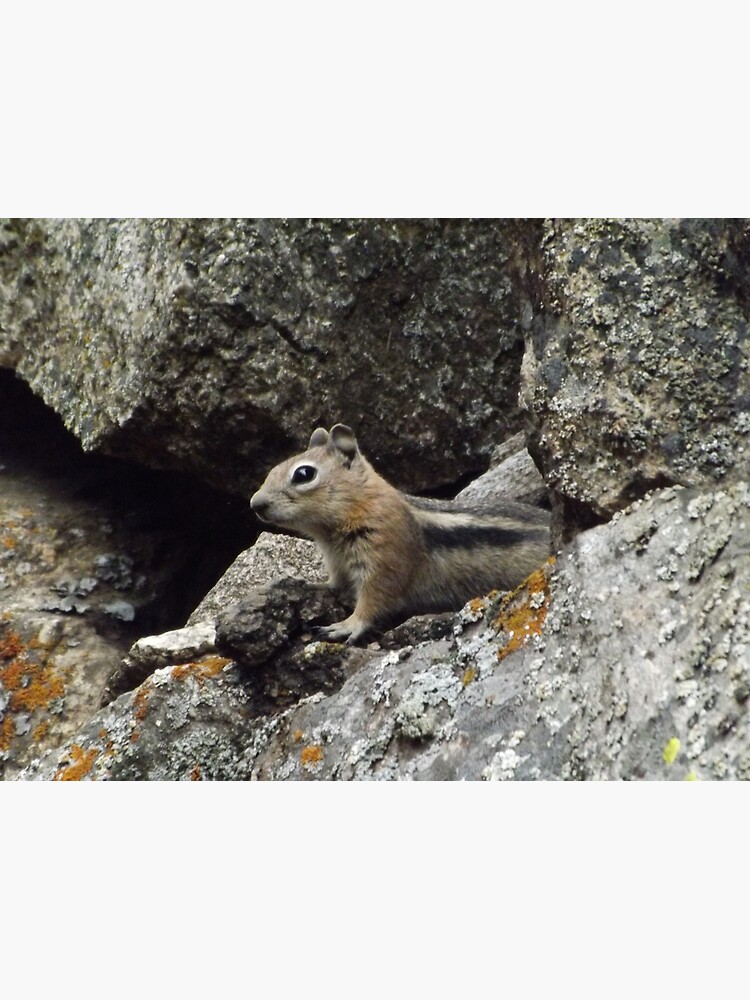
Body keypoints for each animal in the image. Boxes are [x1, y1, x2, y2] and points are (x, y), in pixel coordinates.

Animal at [250, 424, 550, 644]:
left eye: (303, 474)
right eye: (273, 469)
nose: (255, 504)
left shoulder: (385, 558)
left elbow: (375, 599)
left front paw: (346, 625)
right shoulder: (337, 562)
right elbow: (335, 584)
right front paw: (311, 584)